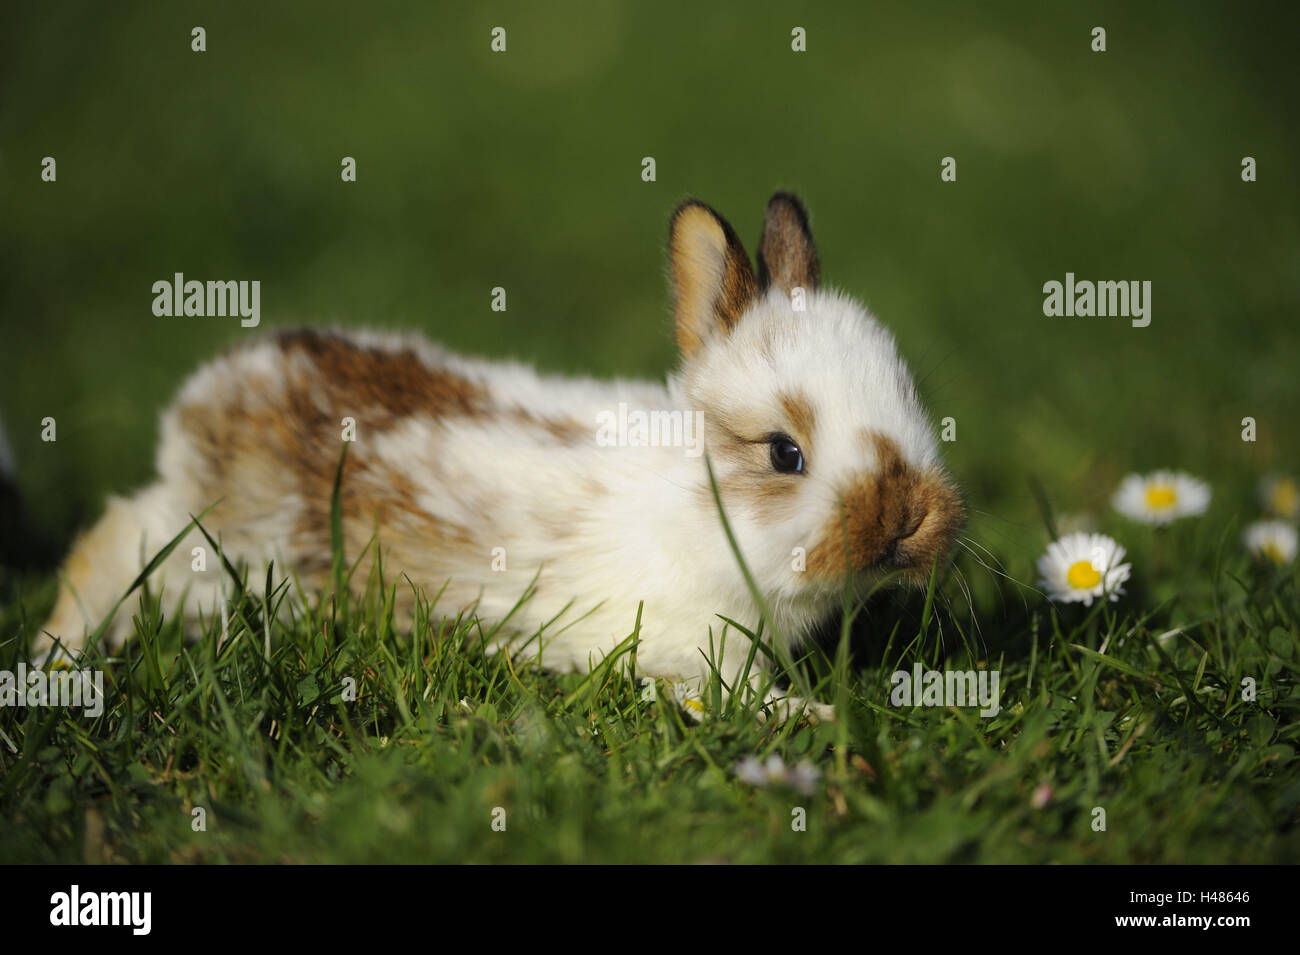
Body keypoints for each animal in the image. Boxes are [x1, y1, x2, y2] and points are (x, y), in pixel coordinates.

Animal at [34, 192, 964, 721]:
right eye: (785, 453)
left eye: (909, 391)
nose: (915, 518)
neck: (695, 507)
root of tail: (209, 394)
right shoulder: (692, 652)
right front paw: (813, 718)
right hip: (209, 555)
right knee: (107, 545)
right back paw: (55, 661)